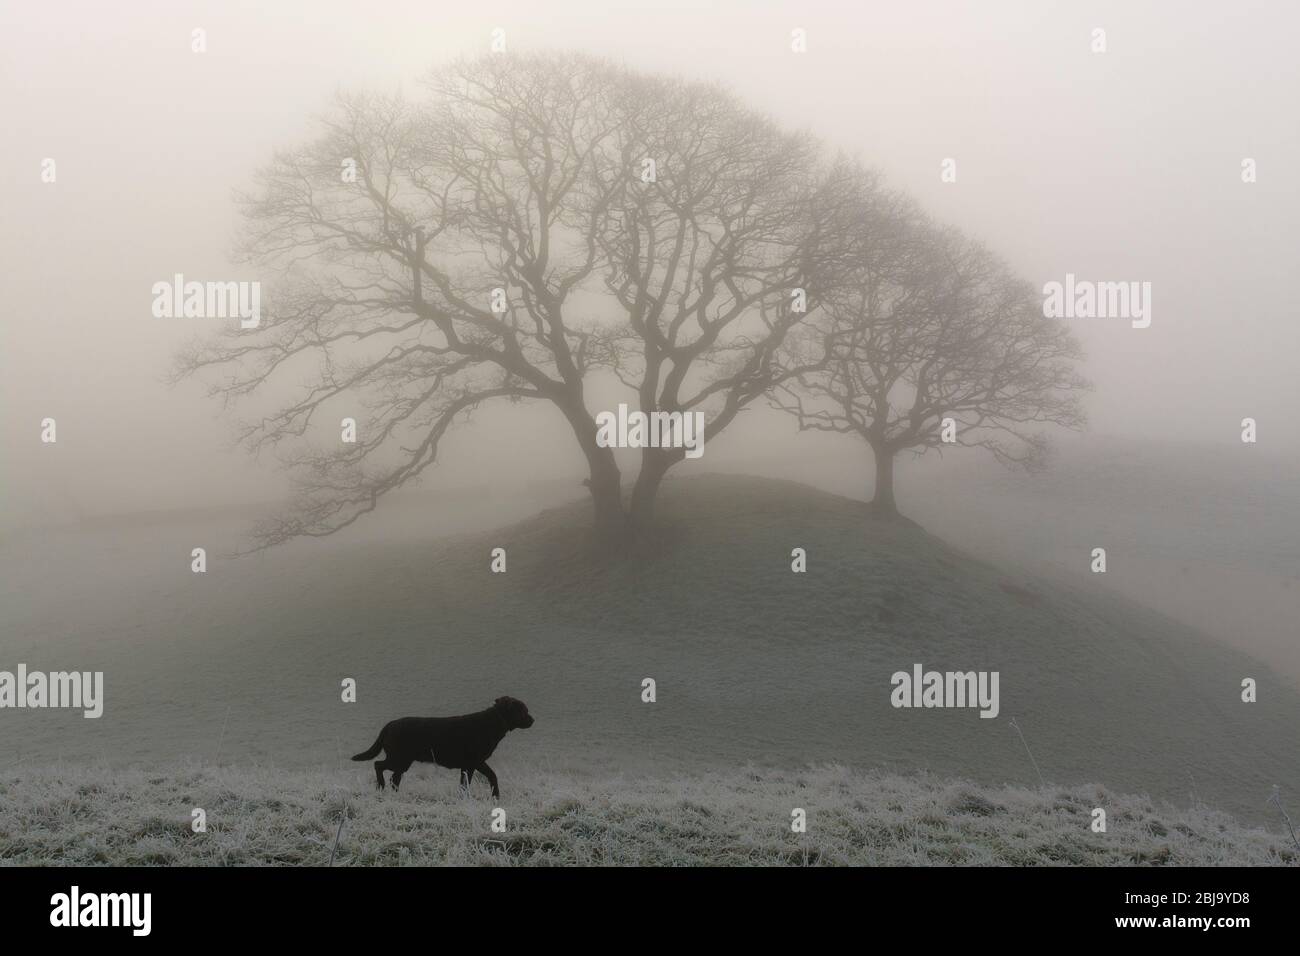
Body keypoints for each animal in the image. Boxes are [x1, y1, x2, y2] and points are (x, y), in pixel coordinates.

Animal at [351, 697, 533, 801]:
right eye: (524, 710)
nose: (533, 720)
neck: (493, 722)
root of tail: (389, 725)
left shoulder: (468, 766)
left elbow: (464, 785)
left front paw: (464, 799)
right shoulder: (477, 762)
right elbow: (493, 776)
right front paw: (496, 797)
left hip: (402, 762)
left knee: (392, 778)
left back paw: (392, 794)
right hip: (399, 759)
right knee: (379, 766)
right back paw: (381, 787)